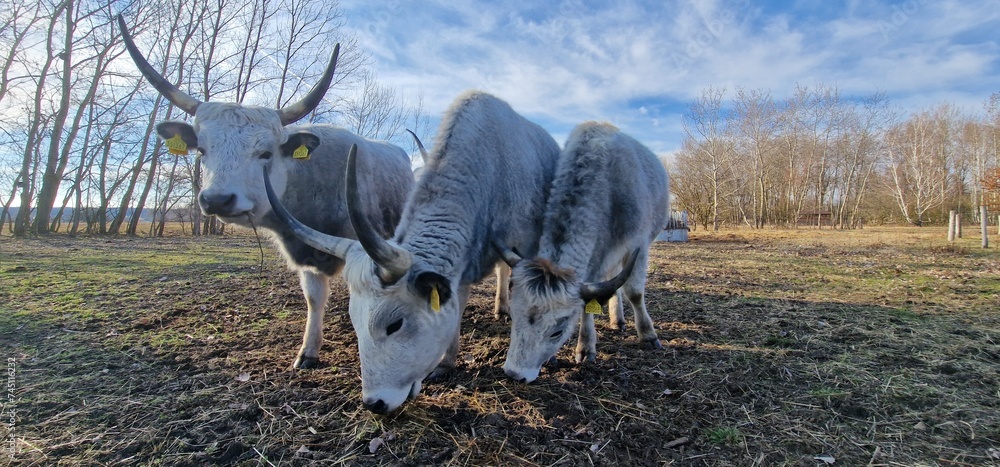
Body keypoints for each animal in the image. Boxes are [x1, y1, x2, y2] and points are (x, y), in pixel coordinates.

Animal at [117, 15, 413, 369]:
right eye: (201, 150)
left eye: (265, 152)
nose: (217, 199)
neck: (313, 184)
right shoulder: (306, 256)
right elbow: (314, 298)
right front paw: (308, 351)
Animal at [498, 121, 669, 383]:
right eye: (515, 318)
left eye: (557, 331)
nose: (515, 374)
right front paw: (586, 345)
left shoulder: (637, 245)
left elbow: (634, 292)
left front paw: (648, 335)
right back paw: (616, 319)